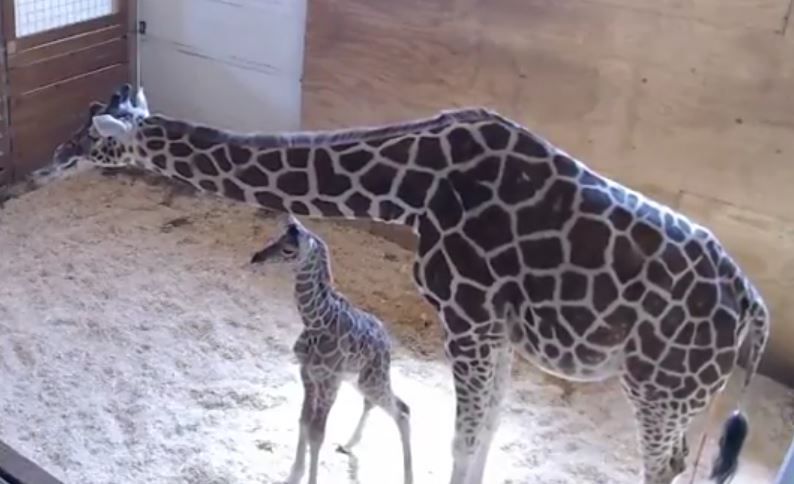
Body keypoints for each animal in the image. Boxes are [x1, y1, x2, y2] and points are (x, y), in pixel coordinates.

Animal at [249, 213, 413, 484]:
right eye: (276, 236)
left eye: (288, 249)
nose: (256, 257)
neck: (317, 322)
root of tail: (386, 340)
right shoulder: (308, 374)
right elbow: (304, 422)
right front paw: (294, 474)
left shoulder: (329, 382)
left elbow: (318, 433)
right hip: (358, 379)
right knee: (374, 404)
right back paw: (348, 444)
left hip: (371, 379)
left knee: (402, 410)